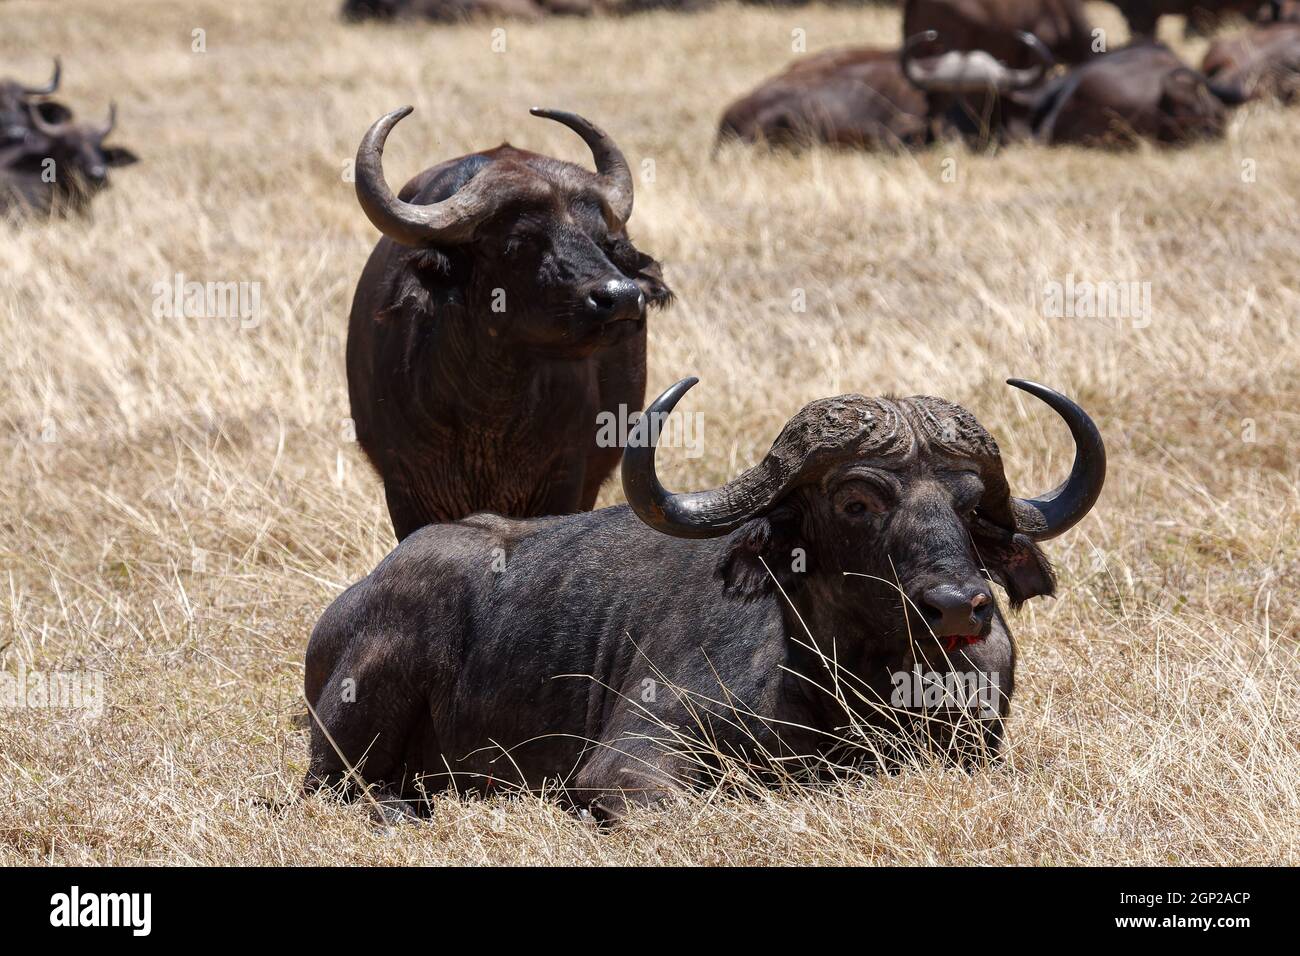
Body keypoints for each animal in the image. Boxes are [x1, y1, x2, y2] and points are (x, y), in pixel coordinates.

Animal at [305, 377, 1105, 820]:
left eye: (970, 507)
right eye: (856, 502)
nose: (960, 608)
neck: (853, 683)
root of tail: (351, 601)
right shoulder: (630, 765)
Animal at [346, 107, 672, 541]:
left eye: (604, 241)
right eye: (517, 242)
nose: (621, 297)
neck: (487, 414)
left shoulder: (565, 479)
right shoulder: (404, 489)